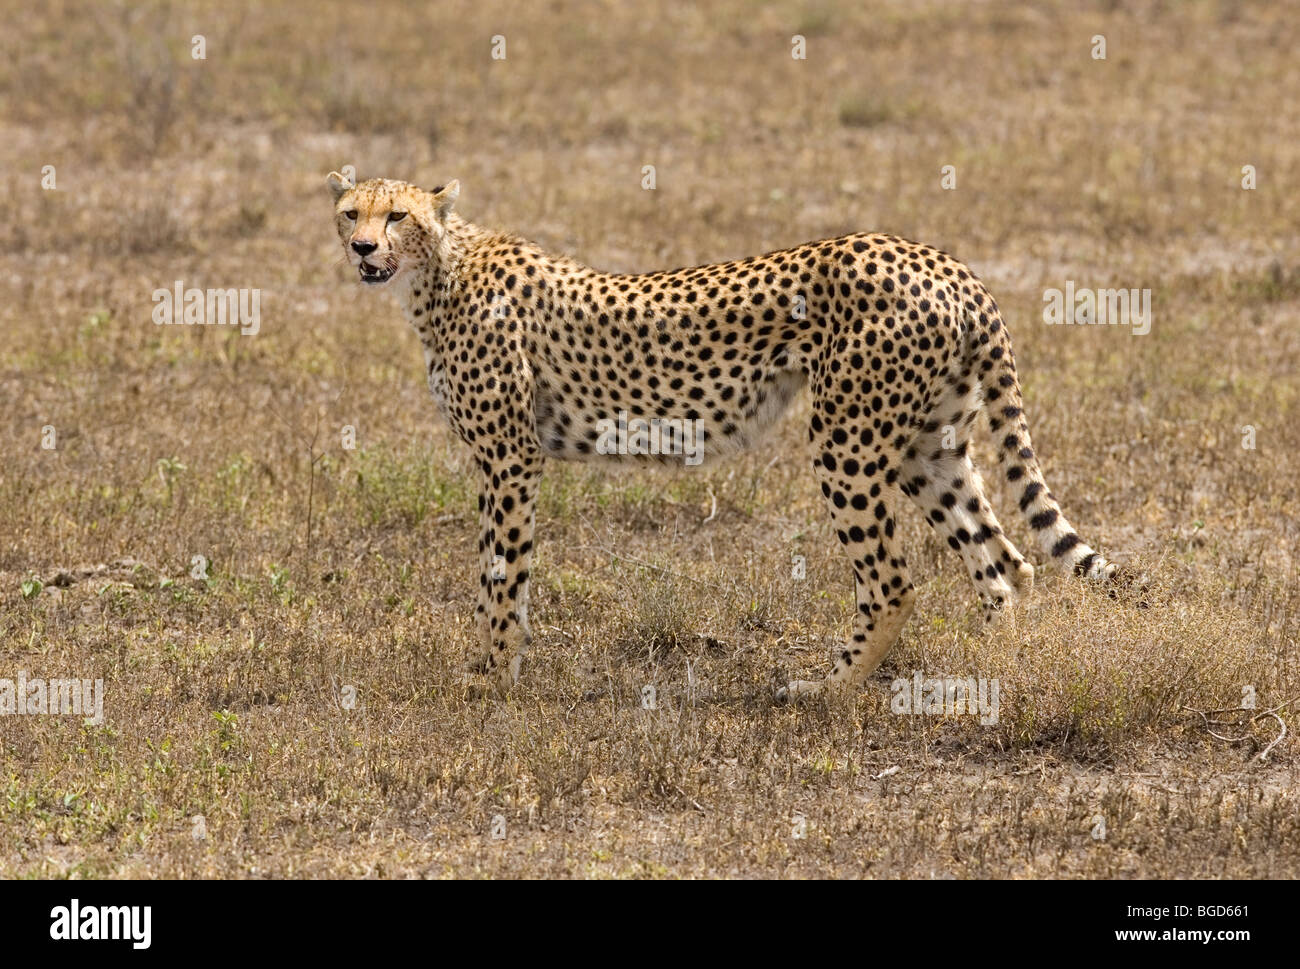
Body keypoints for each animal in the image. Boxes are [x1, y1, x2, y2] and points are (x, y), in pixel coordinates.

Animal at [326, 172, 1124, 701]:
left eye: (398, 215)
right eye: (349, 212)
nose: (362, 247)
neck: (439, 270)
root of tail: (939, 257)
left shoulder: (509, 459)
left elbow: (501, 571)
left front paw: (490, 678)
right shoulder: (508, 460)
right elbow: (502, 571)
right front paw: (497, 668)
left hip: (846, 441)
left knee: (894, 580)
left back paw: (825, 690)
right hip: (928, 442)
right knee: (1005, 562)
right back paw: (993, 680)